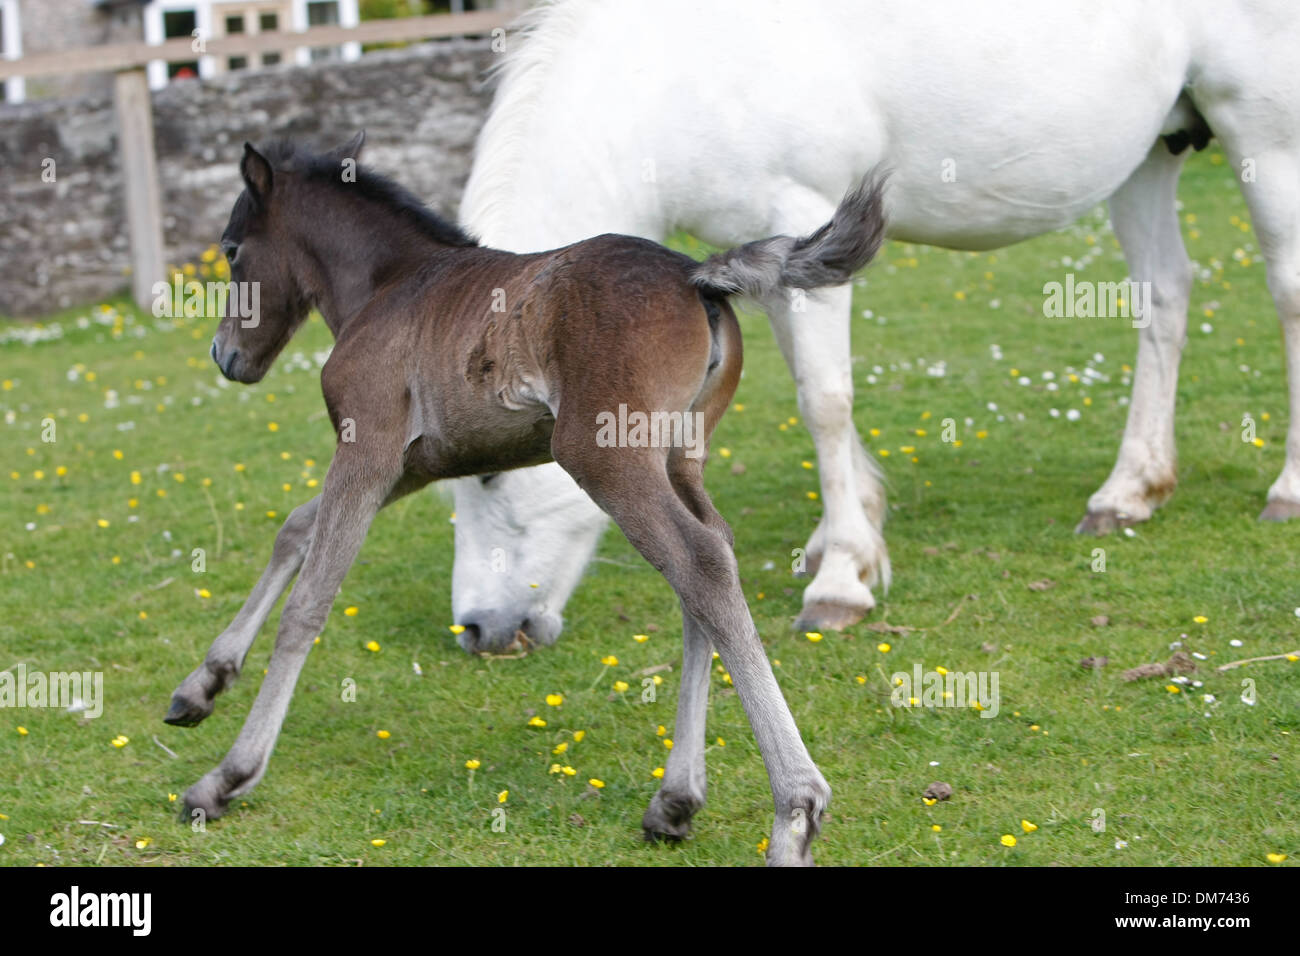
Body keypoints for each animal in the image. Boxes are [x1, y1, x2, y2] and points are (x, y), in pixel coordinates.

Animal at [163, 133, 887, 865]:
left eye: (231, 250)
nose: (226, 356)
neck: (387, 287)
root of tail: (695, 276)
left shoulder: (368, 449)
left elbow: (309, 602)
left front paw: (226, 777)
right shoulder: (413, 464)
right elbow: (295, 529)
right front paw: (201, 686)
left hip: (606, 457)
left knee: (701, 564)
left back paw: (794, 812)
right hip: (681, 459)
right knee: (711, 567)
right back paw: (675, 802)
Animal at [446, 0, 1300, 646]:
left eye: (492, 471)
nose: (481, 631)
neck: (681, 63)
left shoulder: (809, 226)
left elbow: (823, 403)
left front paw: (840, 582)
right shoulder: (774, 262)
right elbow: (810, 388)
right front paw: (841, 540)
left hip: (1265, 138)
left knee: (1287, 291)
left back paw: (1285, 489)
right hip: (1151, 152)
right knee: (1165, 294)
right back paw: (1128, 490)